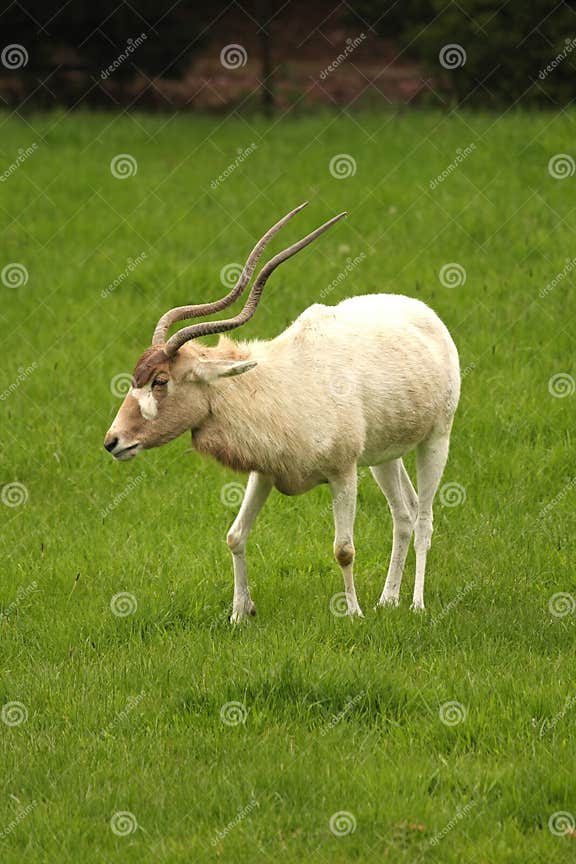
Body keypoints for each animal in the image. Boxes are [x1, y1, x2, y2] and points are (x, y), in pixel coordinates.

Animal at [104, 204, 460, 622]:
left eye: (160, 380)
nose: (113, 442)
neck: (276, 384)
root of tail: (424, 313)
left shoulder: (343, 472)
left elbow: (344, 549)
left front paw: (353, 613)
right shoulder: (265, 471)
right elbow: (235, 535)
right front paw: (239, 613)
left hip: (436, 438)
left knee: (424, 518)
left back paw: (416, 603)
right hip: (383, 456)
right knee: (404, 513)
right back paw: (388, 599)